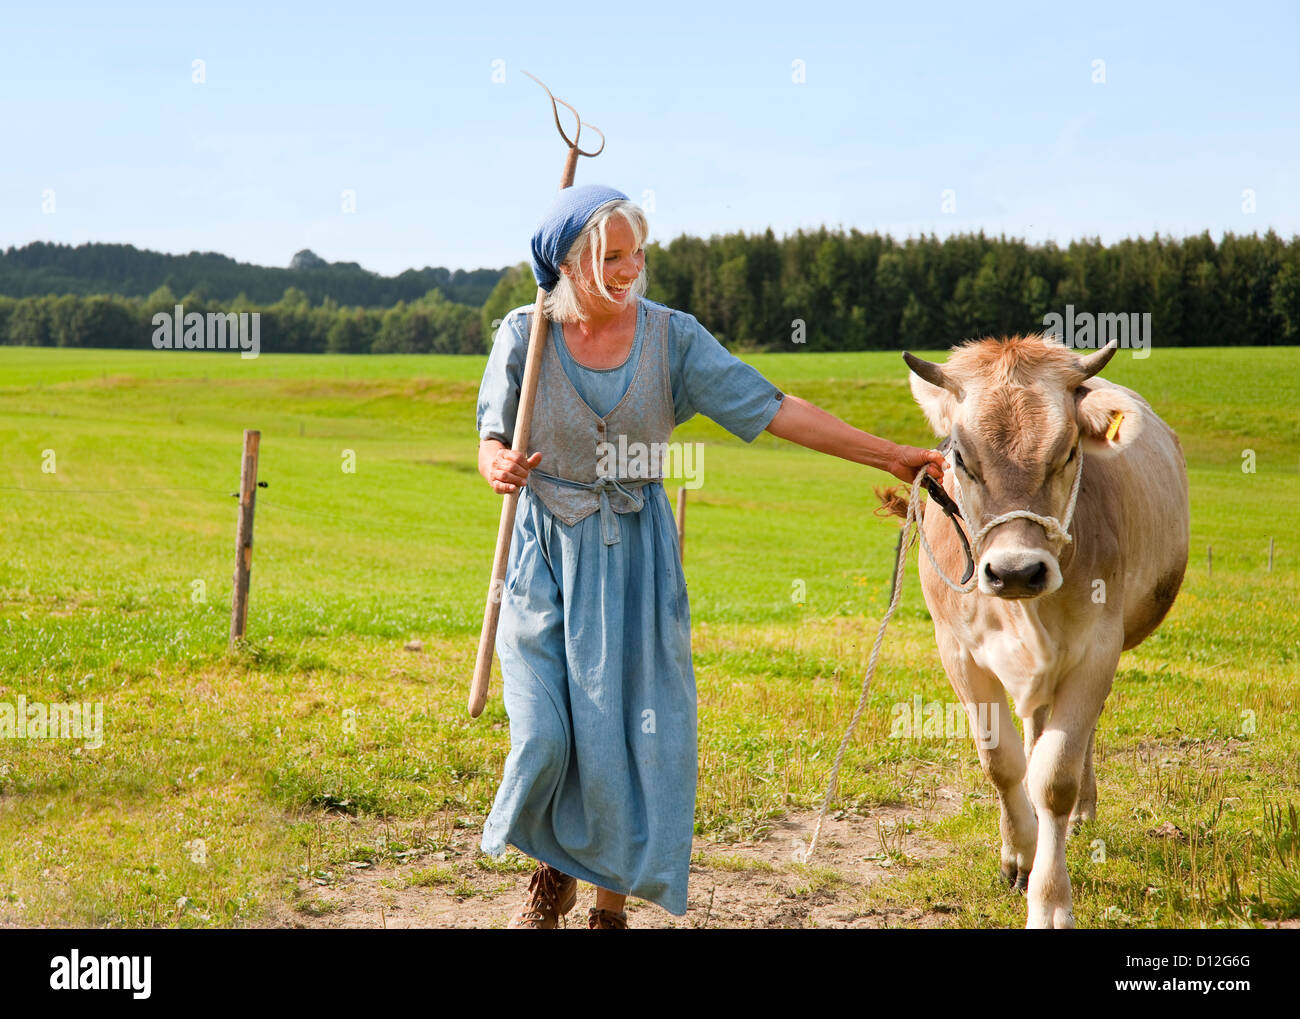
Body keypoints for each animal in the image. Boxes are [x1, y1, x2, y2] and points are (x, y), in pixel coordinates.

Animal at [901, 334, 1189, 929]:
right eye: (961, 458)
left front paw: (1050, 898)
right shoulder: (958, 652)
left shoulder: (1096, 650)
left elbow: (1055, 776)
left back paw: (1082, 810)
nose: (1015, 571)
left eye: (1068, 453)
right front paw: (1019, 854)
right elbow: (1002, 762)